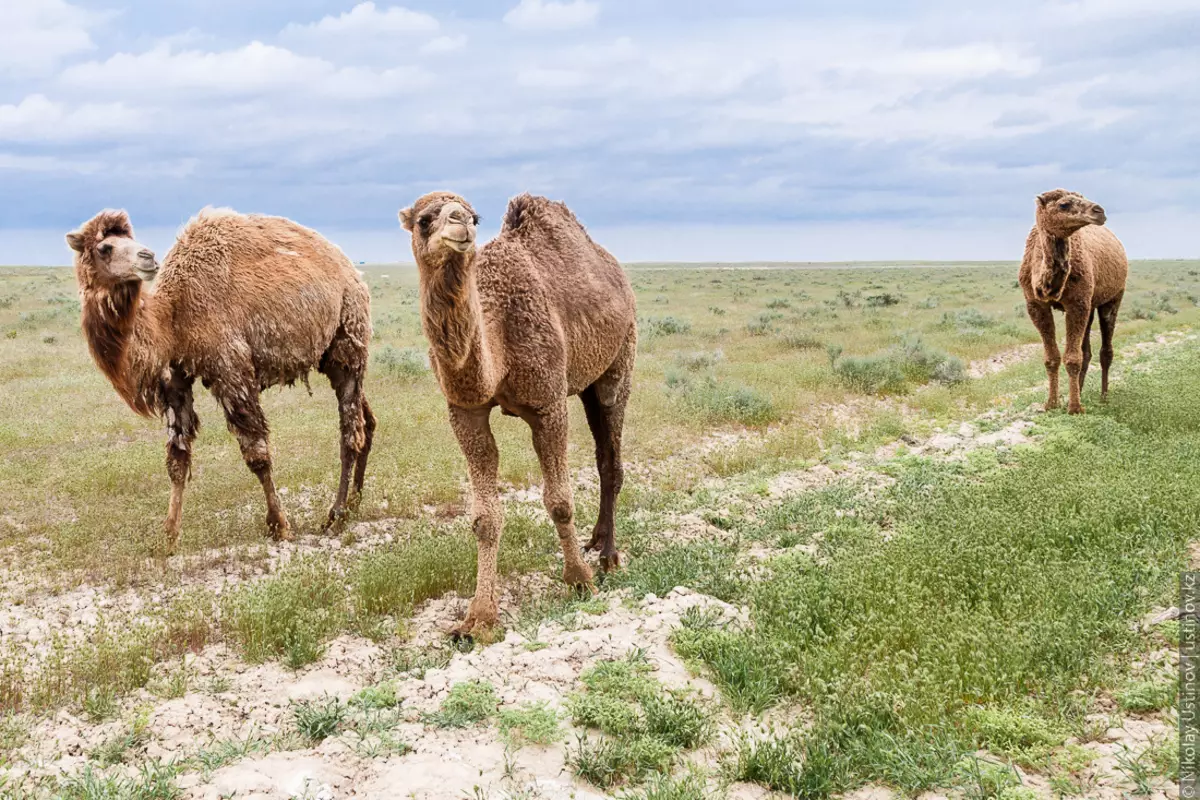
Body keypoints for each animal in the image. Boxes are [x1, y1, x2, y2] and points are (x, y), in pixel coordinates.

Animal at [66, 206, 374, 551]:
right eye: (105, 248)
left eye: (128, 240)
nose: (148, 256)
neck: (172, 318)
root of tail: (352, 272)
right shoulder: (176, 377)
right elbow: (177, 458)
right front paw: (169, 536)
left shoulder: (231, 368)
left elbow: (257, 455)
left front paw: (280, 525)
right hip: (330, 356)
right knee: (367, 422)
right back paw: (354, 504)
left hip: (348, 335)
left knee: (350, 431)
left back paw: (336, 515)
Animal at [398, 191, 638, 638]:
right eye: (424, 219)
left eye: (474, 215)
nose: (460, 223)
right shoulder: (466, 411)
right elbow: (484, 518)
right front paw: (477, 618)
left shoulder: (548, 403)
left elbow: (559, 501)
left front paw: (580, 581)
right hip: (587, 380)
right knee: (601, 453)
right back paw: (596, 540)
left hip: (621, 359)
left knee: (612, 458)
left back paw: (609, 557)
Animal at [1017, 188, 1128, 412]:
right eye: (1064, 204)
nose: (1099, 211)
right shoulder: (1036, 305)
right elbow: (1052, 358)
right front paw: (1052, 404)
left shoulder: (1077, 303)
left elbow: (1072, 358)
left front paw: (1075, 408)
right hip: (1090, 305)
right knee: (1087, 351)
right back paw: (1081, 391)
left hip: (1113, 297)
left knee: (1106, 350)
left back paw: (1103, 397)